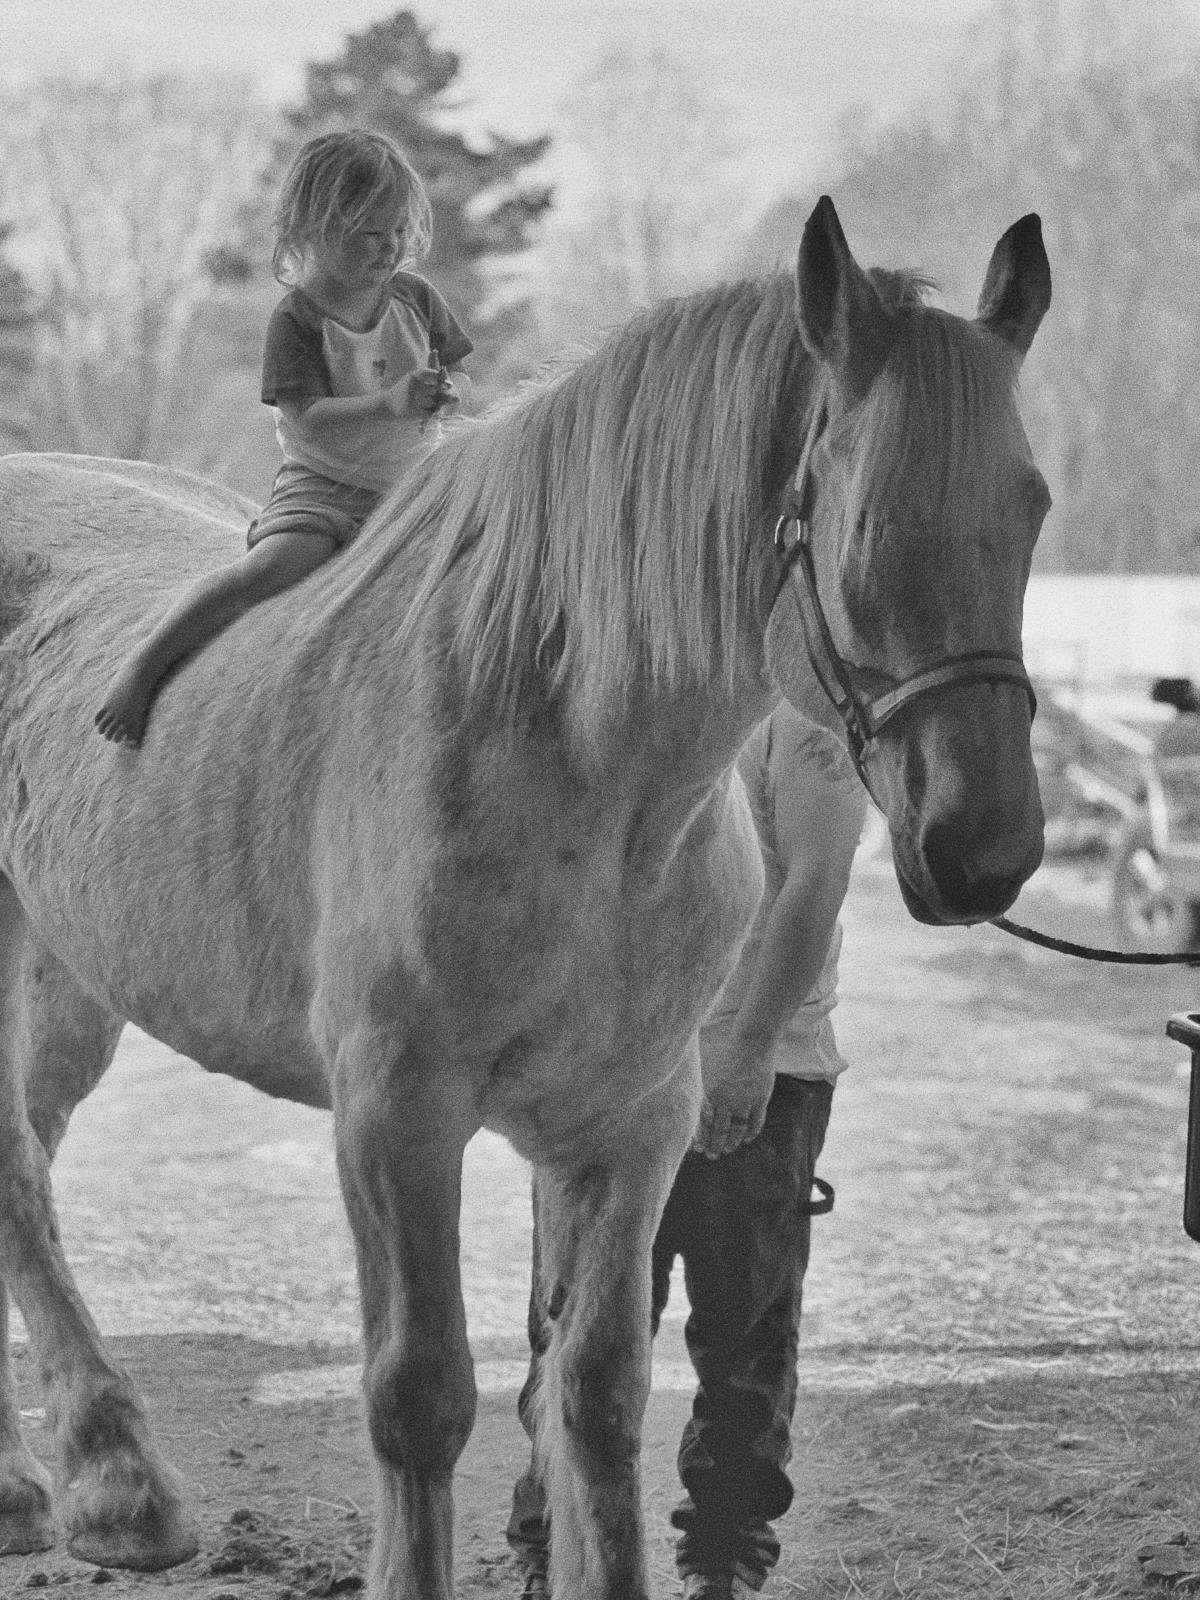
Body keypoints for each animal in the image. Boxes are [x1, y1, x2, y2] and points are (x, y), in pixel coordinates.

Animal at [0, 196, 1050, 1598]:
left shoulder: (634, 1125)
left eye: (1033, 508)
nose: (983, 847)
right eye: (866, 521)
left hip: (72, 983)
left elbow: (594, 1395)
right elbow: (420, 1395)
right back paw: (119, 1483)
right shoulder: (396, 1115)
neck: (574, 752)